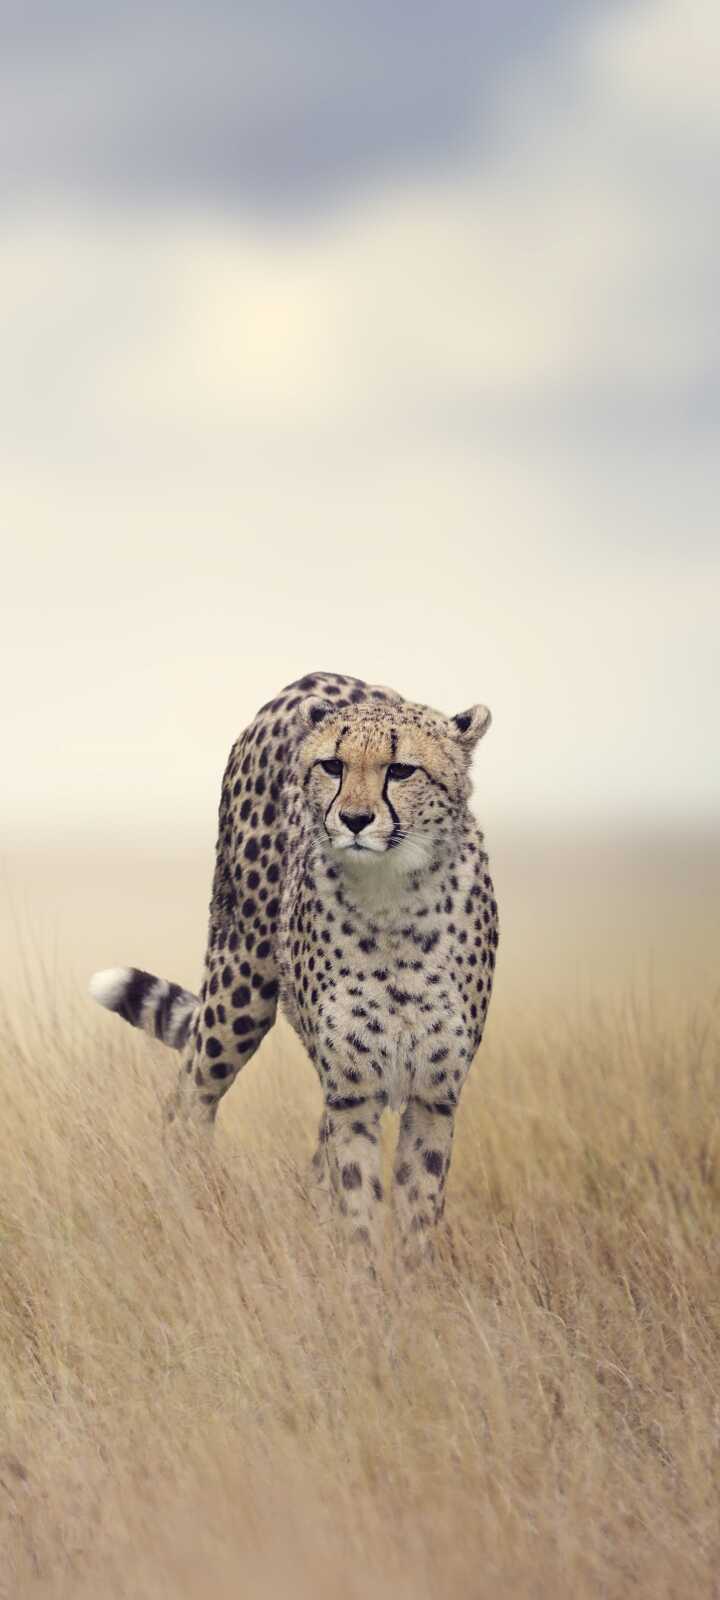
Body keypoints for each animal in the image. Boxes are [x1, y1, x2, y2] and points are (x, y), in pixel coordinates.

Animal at [90, 670, 499, 1261]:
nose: (354, 819)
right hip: (240, 990)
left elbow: (414, 1217)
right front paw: (360, 1279)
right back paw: (186, 1207)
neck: (393, 900)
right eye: (333, 765)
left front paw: (410, 1282)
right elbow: (357, 1206)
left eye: (401, 769)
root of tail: (313, 679)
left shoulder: (433, 1096)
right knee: (188, 1099)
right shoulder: (352, 1093)